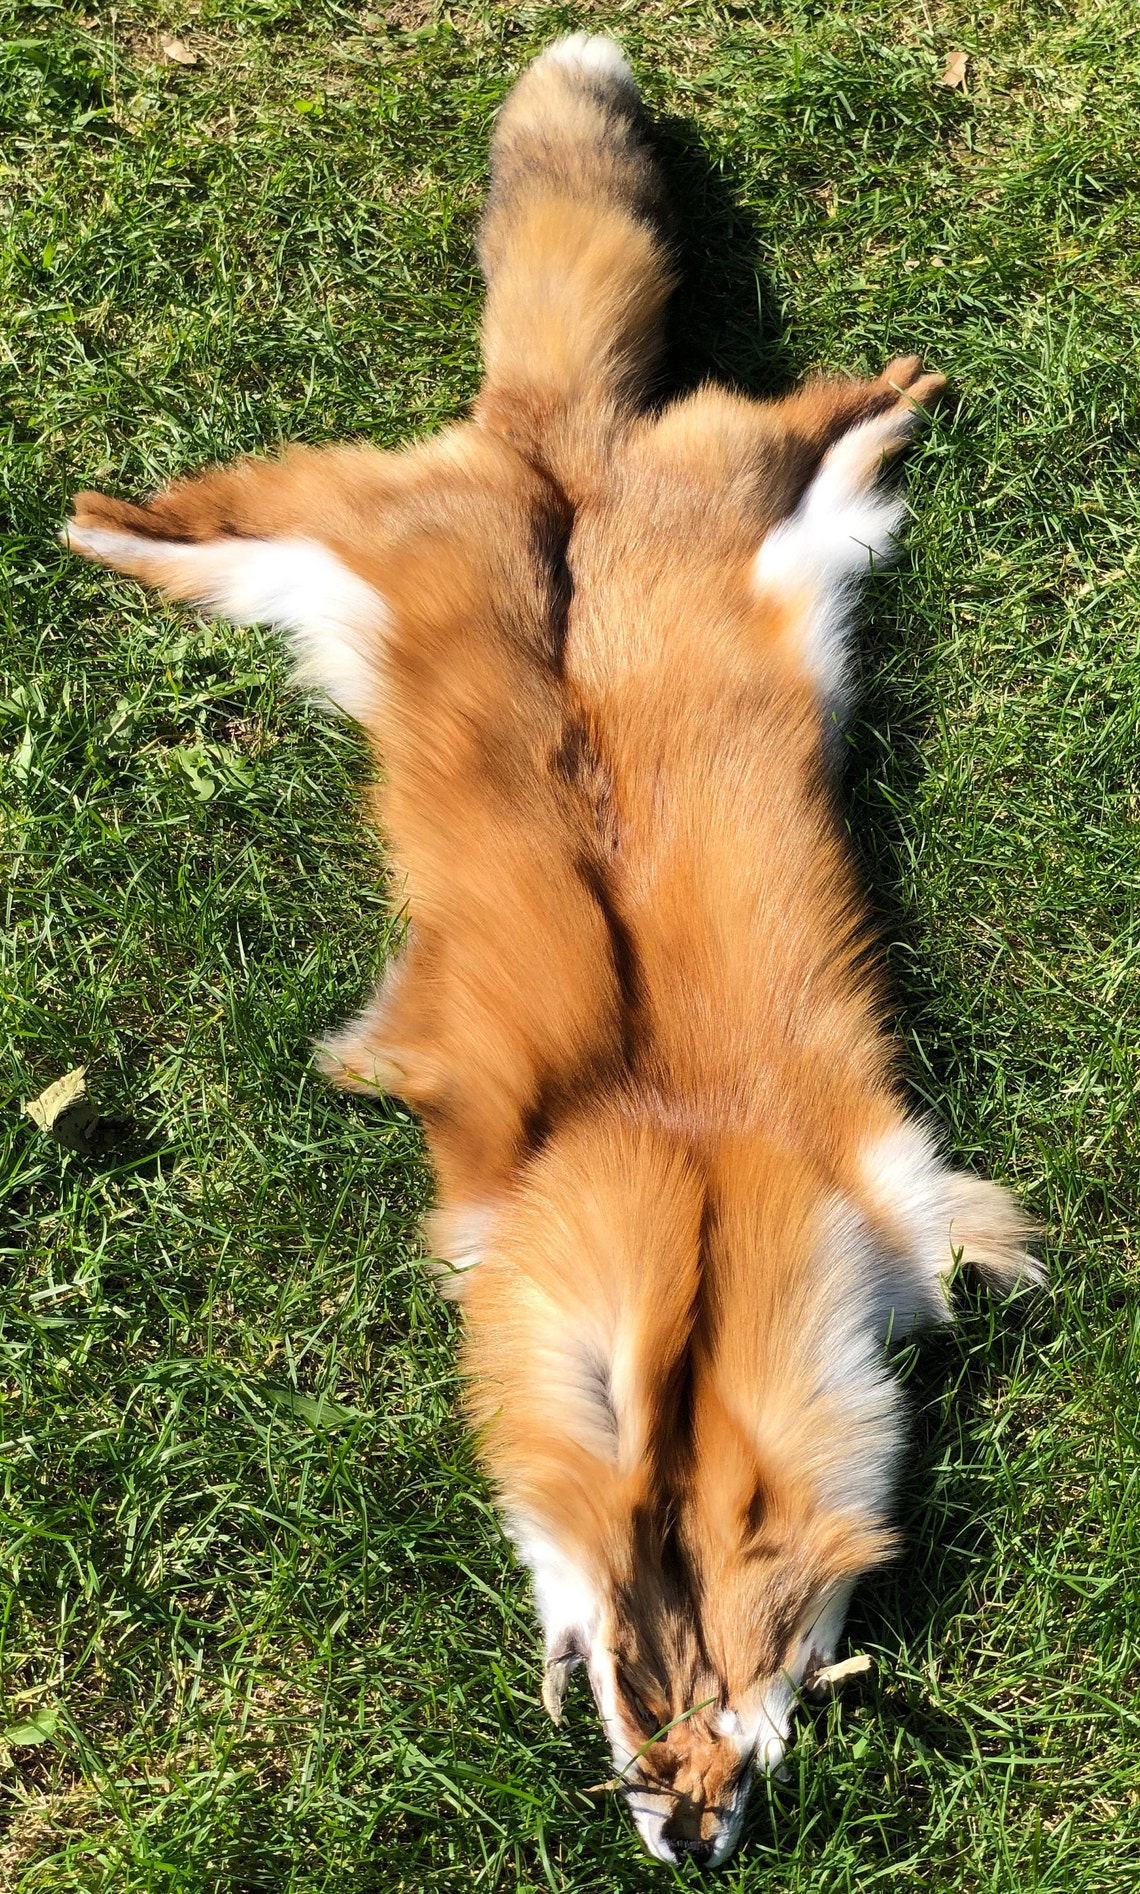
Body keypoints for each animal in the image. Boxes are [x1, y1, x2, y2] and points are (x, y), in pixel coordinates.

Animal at [65, 32, 1040, 1869]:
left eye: (758, 1675)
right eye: (673, 1690)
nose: (697, 1839)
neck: (698, 1158)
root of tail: (556, 459)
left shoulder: (866, 1184)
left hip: (705, 514)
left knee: (793, 418)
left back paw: (889, 390)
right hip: (365, 539)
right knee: (231, 504)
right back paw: (103, 521)